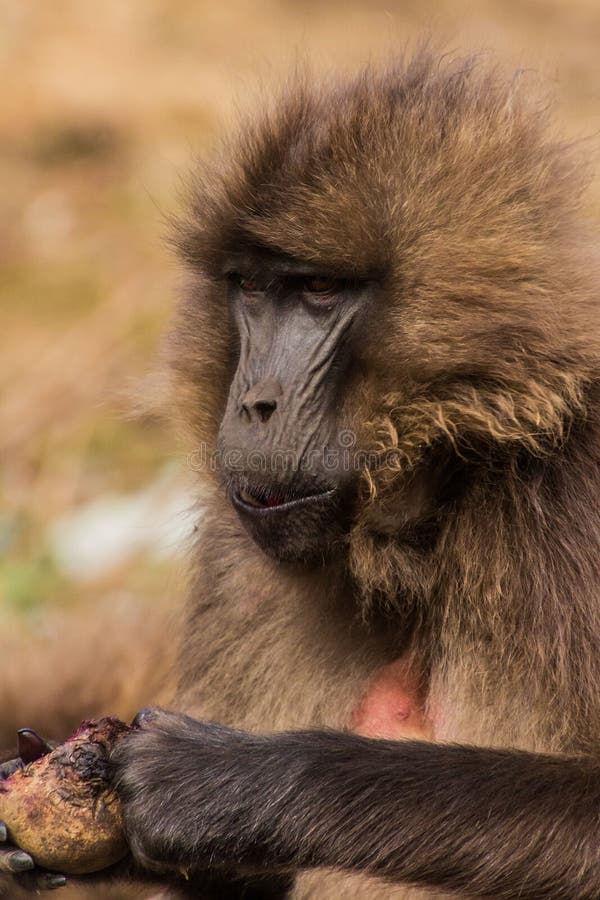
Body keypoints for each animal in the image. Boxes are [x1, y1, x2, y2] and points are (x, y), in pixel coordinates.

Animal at [3, 49, 600, 899]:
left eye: (319, 289)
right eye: (253, 287)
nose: (255, 404)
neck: (424, 525)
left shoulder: (574, 500)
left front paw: (223, 782)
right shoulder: (239, 553)